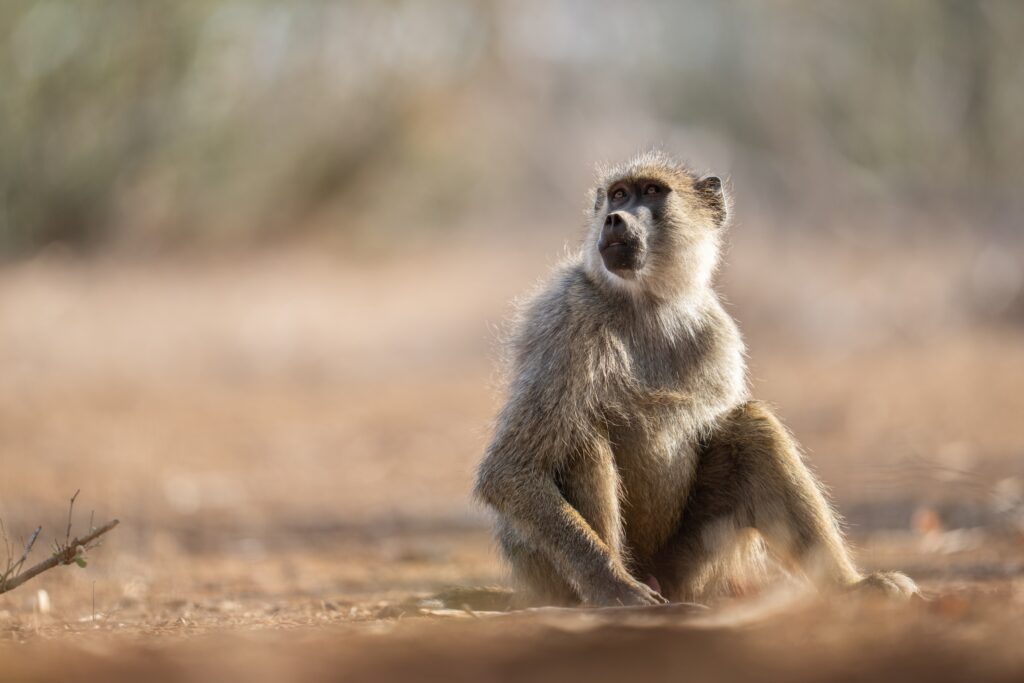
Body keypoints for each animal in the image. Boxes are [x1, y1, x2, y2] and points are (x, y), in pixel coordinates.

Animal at [474, 150, 918, 607]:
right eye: (619, 194)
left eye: (652, 191)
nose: (614, 218)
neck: (649, 304)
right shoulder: (568, 317)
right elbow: (510, 469)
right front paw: (615, 586)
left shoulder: (718, 331)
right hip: (548, 572)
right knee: (581, 435)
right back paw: (613, 595)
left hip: (692, 568)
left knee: (753, 428)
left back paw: (850, 587)